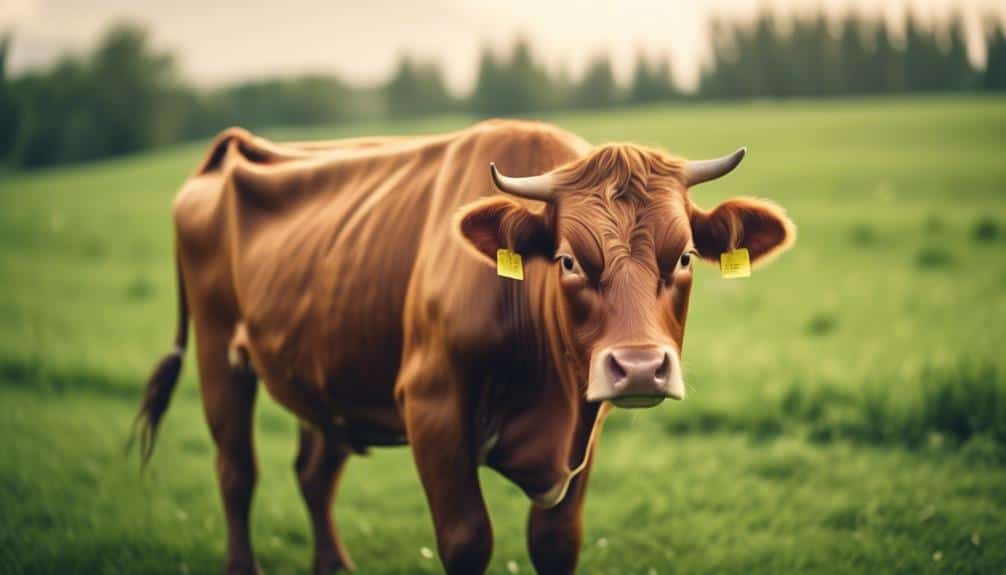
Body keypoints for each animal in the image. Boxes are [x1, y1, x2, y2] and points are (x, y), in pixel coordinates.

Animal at [133, 119, 795, 575]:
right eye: (567, 260)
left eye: (683, 257)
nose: (638, 369)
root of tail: (238, 149)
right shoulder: (432, 407)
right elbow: (467, 539)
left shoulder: (586, 427)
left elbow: (556, 543)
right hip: (219, 354)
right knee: (237, 473)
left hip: (324, 372)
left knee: (314, 476)